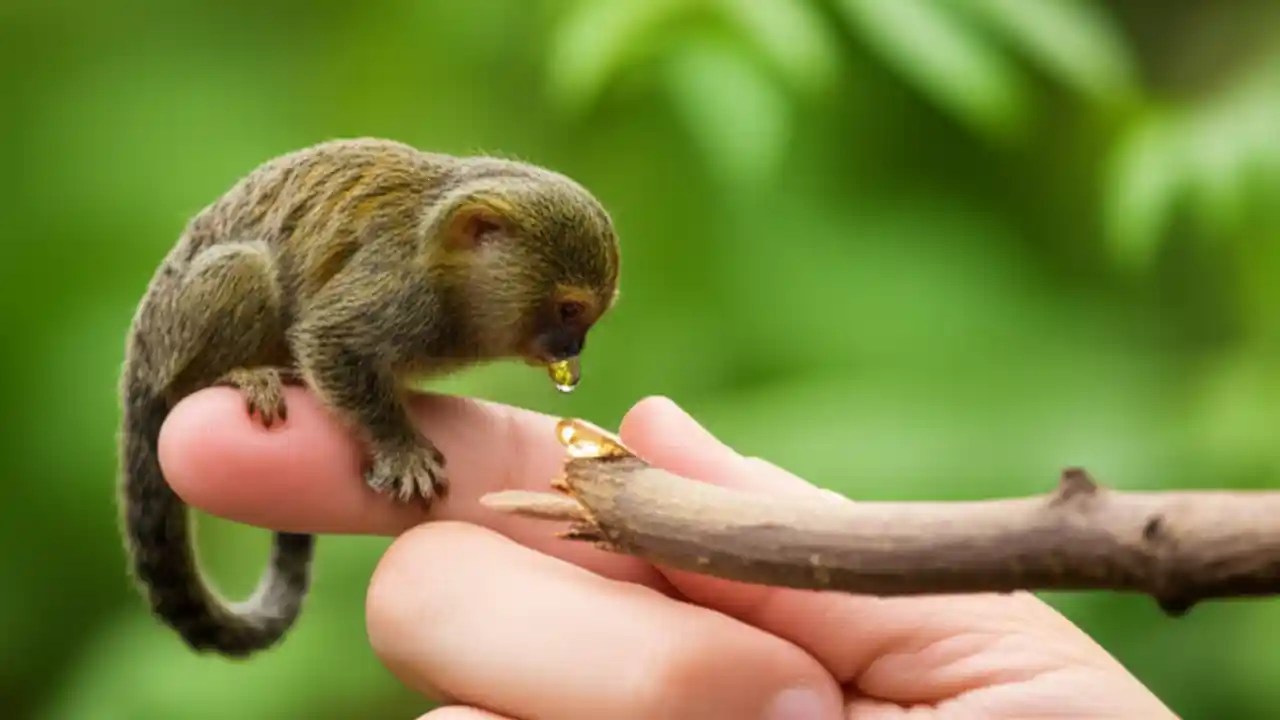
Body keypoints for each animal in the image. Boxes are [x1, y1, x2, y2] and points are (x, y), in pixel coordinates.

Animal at [117, 137, 621, 658]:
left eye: (583, 320)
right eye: (569, 310)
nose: (572, 348)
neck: (446, 276)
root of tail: (143, 345)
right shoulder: (401, 291)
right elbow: (331, 339)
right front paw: (400, 449)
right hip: (176, 331)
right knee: (244, 270)